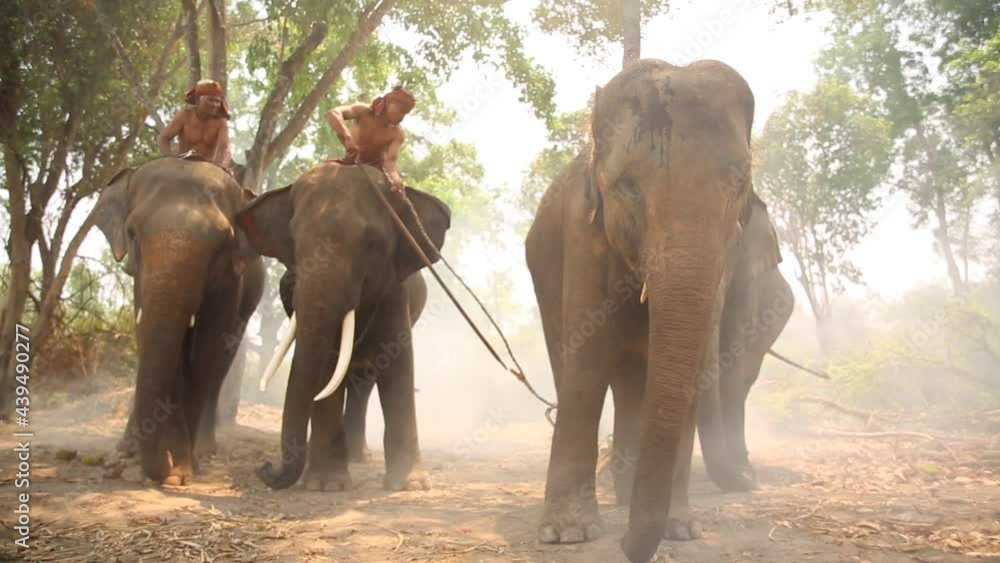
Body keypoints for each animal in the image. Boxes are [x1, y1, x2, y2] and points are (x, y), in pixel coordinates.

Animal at [93, 156, 265, 486]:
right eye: (132, 234)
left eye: (222, 244)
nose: (167, 469)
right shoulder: (141, 278)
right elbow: (154, 338)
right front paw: (166, 467)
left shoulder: (231, 280)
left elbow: (208, 347)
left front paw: (183, 471)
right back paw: (122, 454)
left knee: (221, 364)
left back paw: (204, 450)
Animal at [236, 161, 450, 492]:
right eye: (293, 242)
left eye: (372, 243)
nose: (266, 469)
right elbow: (326, 367)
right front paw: (326, 485)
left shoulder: (394, 292)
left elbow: (398, 363)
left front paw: (412, 486)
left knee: (364, 381)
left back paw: (360, 457)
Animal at [524, 59, 755, 562]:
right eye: (627, 186)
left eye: (740, 182)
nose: (627, 546)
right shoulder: (582, 231)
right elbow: (588, 360)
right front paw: (568, 533)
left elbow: (689, 371)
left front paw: (680, 529)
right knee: (571, 365)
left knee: (634, 382)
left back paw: (628, 497)